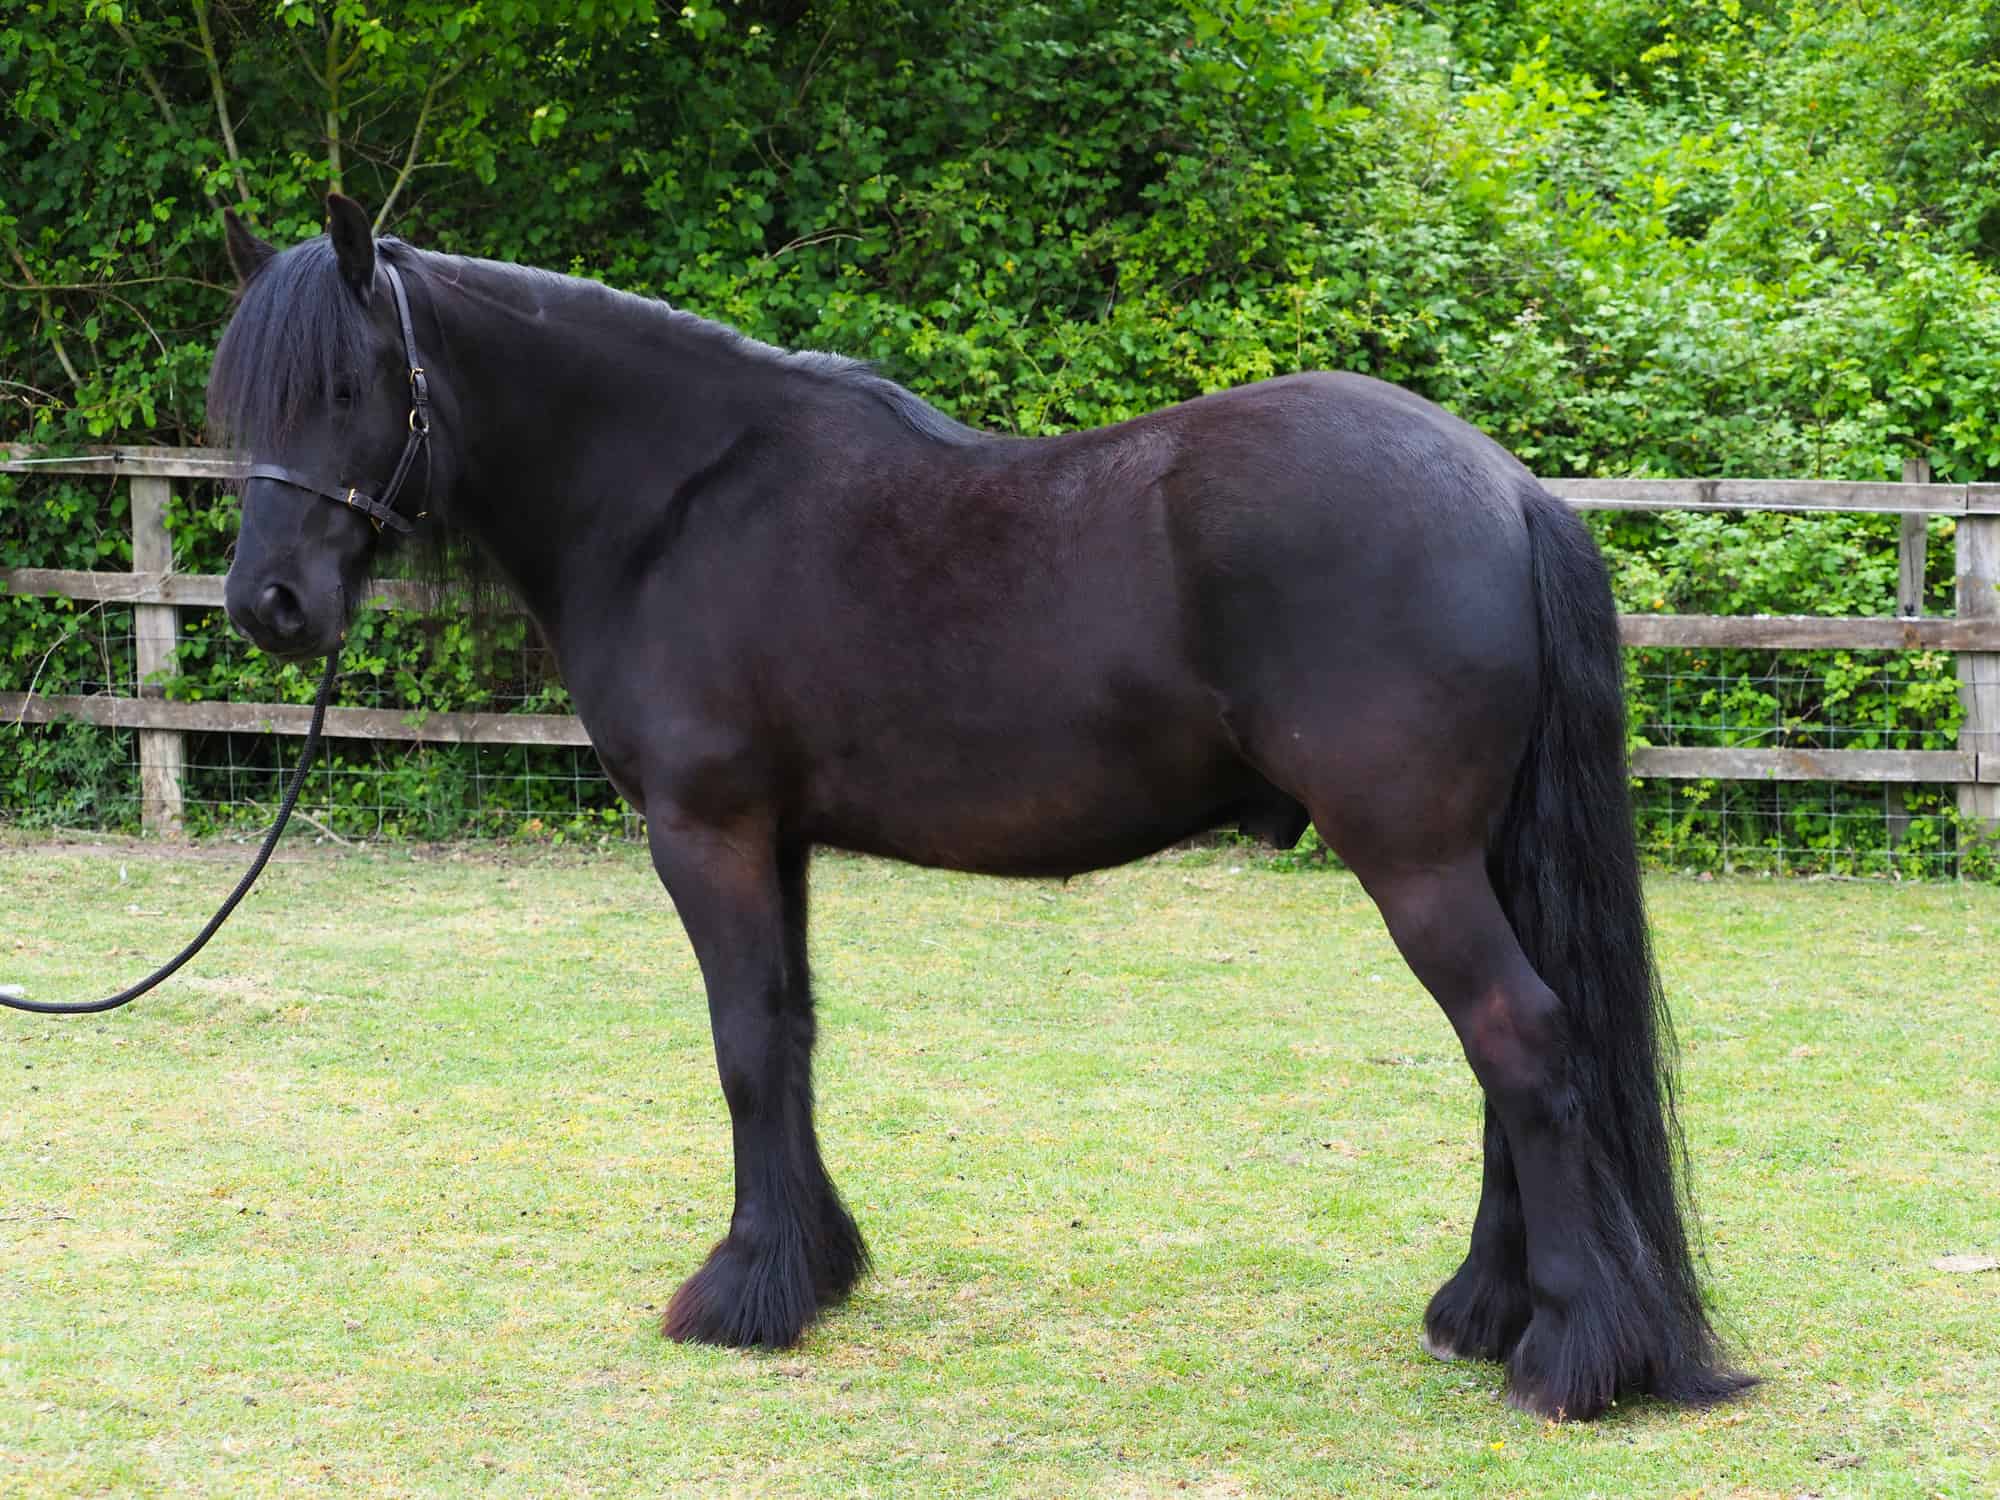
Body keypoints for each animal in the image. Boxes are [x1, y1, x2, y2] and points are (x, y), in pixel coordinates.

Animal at [208, 194, 1753, 1421]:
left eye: (347, 383)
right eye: (247, 400)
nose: (268, 605)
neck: (672, 502)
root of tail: (1503, 486)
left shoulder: (707, 833)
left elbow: (743, 1048)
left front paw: (742, 1292)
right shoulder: (777, 841)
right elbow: (792, 1036)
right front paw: (812, 1270)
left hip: (1414, 858)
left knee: (1521, 1041)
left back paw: (1568, 1358)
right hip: (1468, 855)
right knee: (1514, 1058)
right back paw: (1484, 1314)